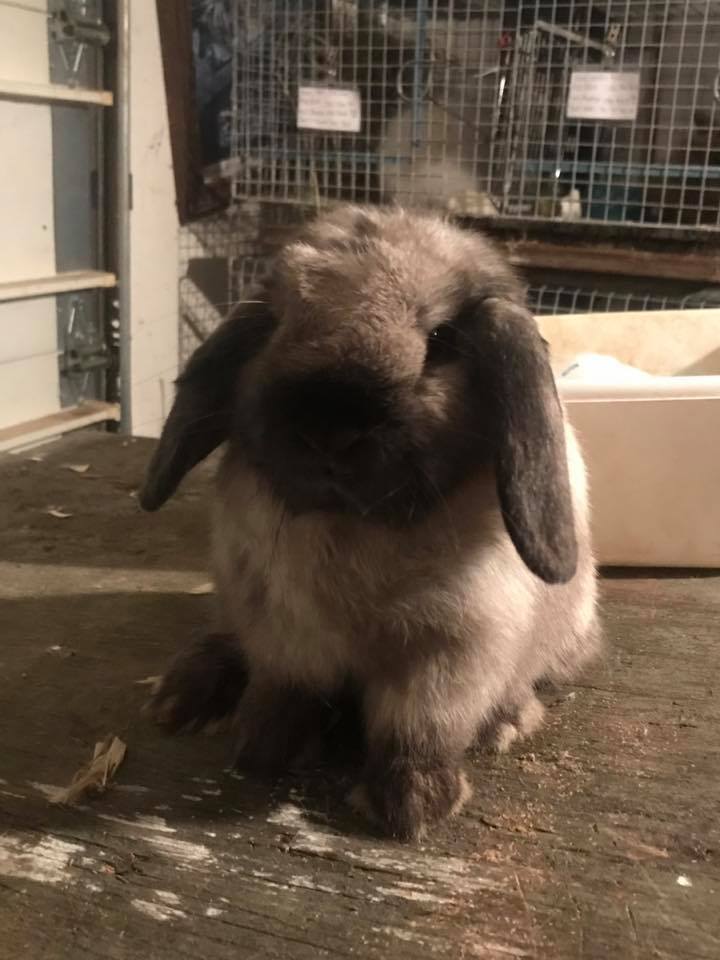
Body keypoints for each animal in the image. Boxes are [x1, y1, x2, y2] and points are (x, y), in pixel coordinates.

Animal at [140, 204, 600, 841]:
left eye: (442, 340)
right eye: (278, 323)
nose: (331, 427)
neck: (355, 524)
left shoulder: (452, 651)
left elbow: (417, 728)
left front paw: (411, 807)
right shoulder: (284, 633)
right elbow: (285, 691)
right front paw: (260, 748)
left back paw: (505, 722)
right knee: (226, 640)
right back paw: (181, 696)